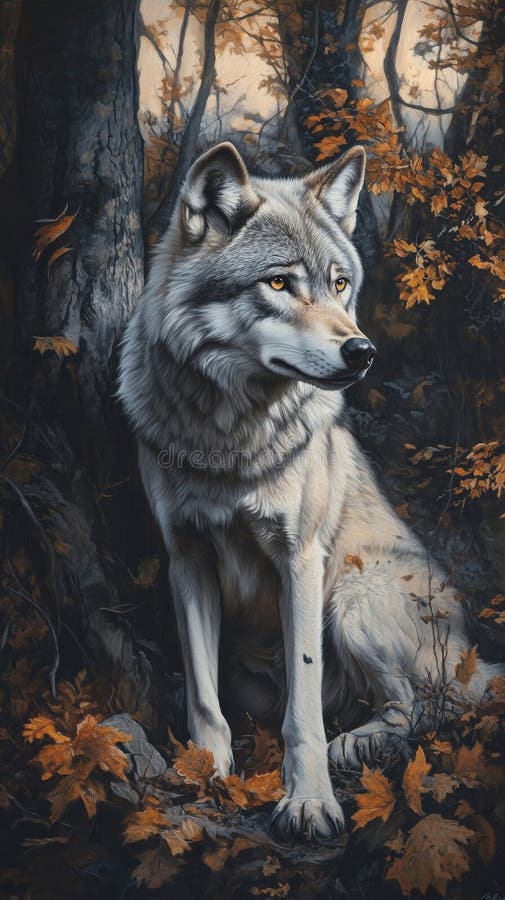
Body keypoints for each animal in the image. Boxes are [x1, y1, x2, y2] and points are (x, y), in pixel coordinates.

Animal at [118, 142, 499, 840]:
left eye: (340, 284)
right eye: (278, 283)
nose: (363, 351)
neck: (228, 439)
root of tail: (470, 655)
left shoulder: (299, 559)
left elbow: (303, 712)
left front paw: (309, 802)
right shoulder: (186, 558)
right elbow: (203, 696)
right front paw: (206, 775)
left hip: (351, 596)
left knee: (421, 706)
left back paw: (356, 744)